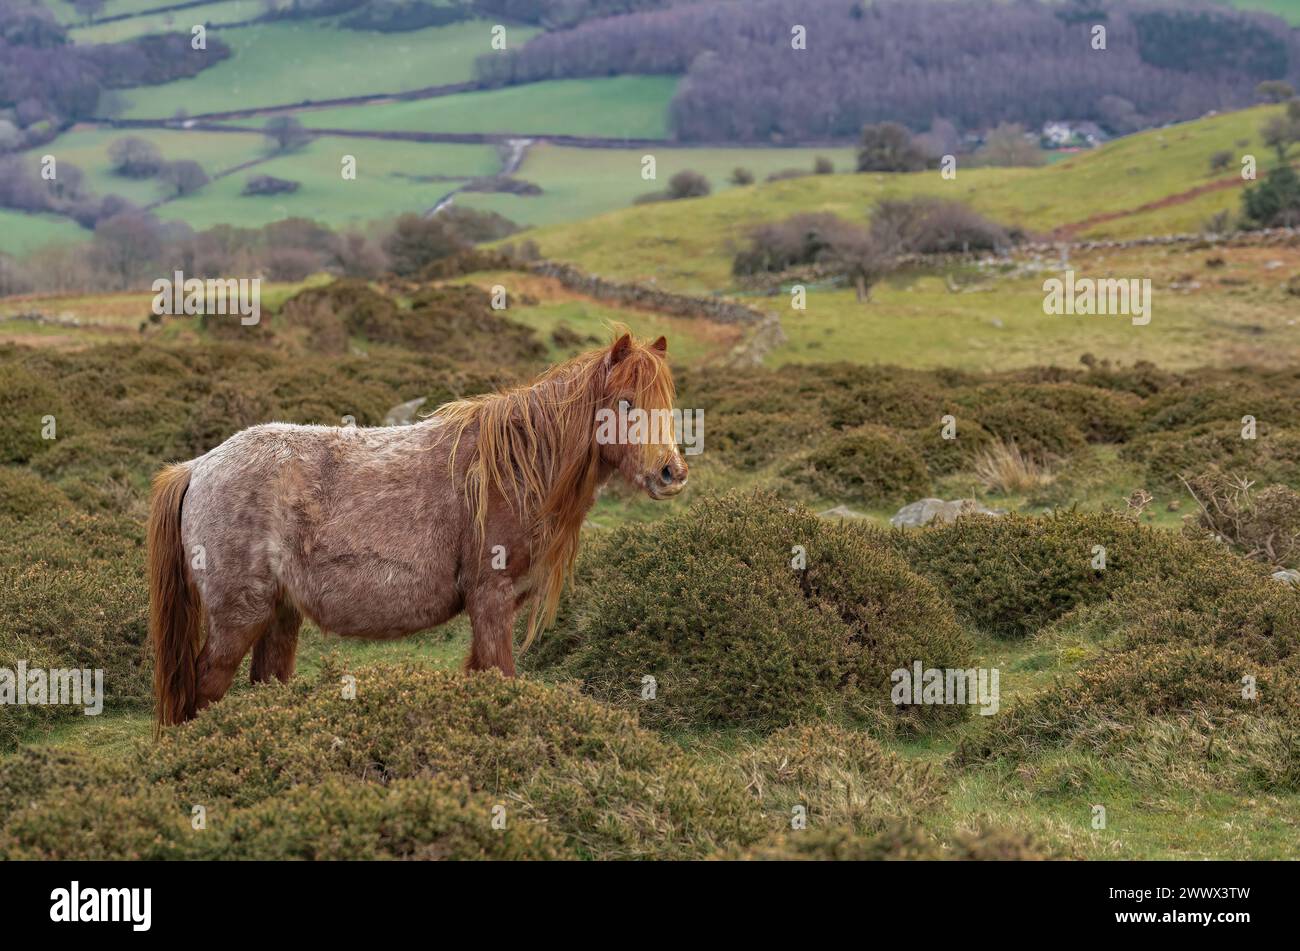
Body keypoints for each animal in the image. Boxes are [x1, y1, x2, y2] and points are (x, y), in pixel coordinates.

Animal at [148, 331, 687, 726]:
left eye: (668, 402)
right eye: (624, 402)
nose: (671, 473)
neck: (513, 467)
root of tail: (198, 466)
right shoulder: (490, 600)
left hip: (280, 615)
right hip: (238, 618)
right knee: (202, 692)